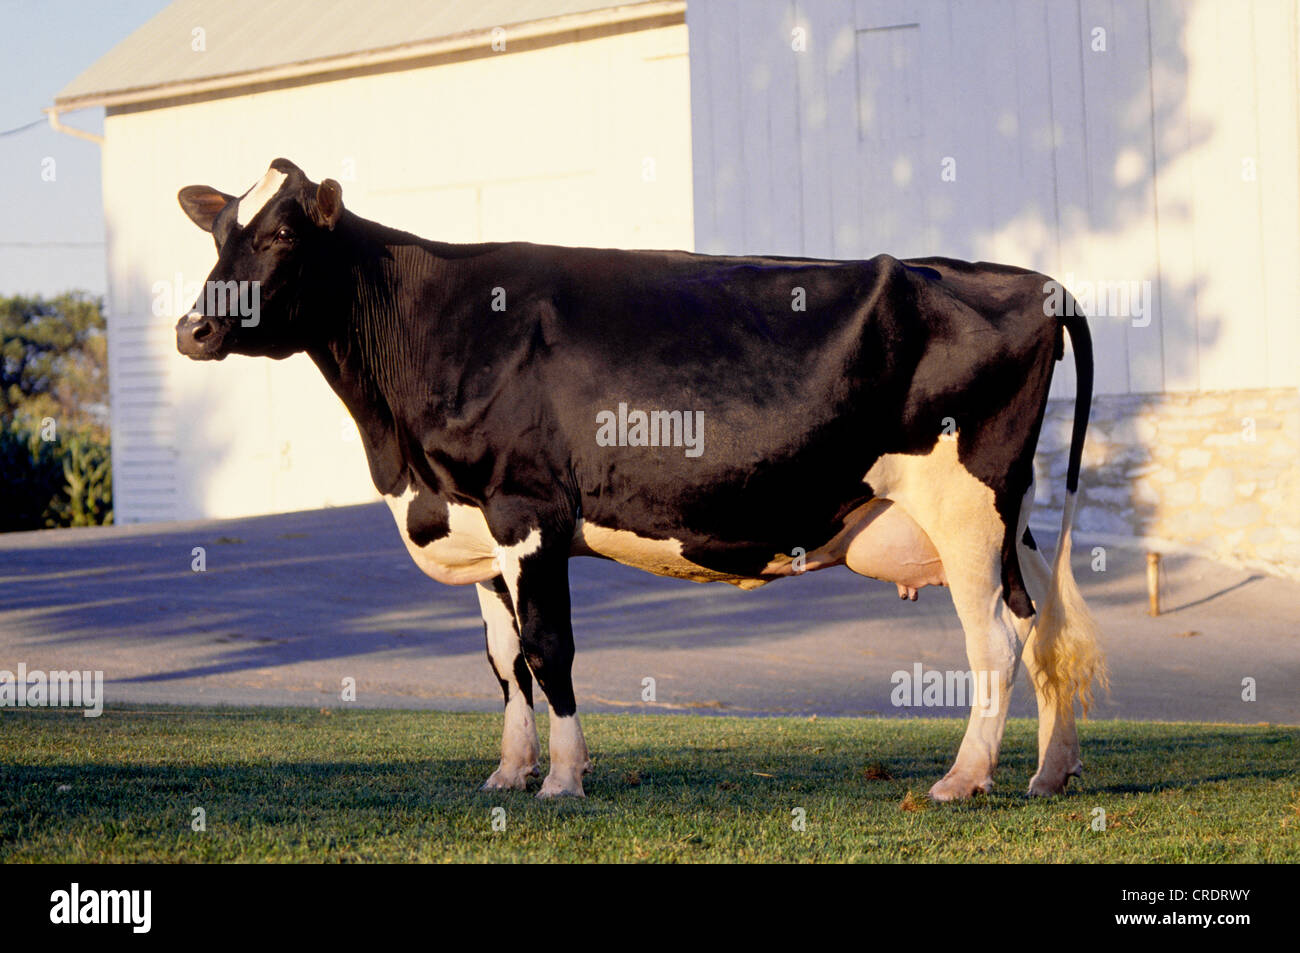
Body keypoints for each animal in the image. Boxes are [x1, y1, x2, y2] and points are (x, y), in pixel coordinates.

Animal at [175, 159, 1105, 801]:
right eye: (218, 234)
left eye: (284, 235)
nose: (193, 329)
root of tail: (1026, 279)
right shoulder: (476, 523)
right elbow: (504, 659)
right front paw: (508, 774)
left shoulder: (527, 509)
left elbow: (549, 649)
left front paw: (563, 779)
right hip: (1012, 513)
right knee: (1042, 628)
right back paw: (1049, 774)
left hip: (966, 508)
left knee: (995, 642)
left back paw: (962, 779)